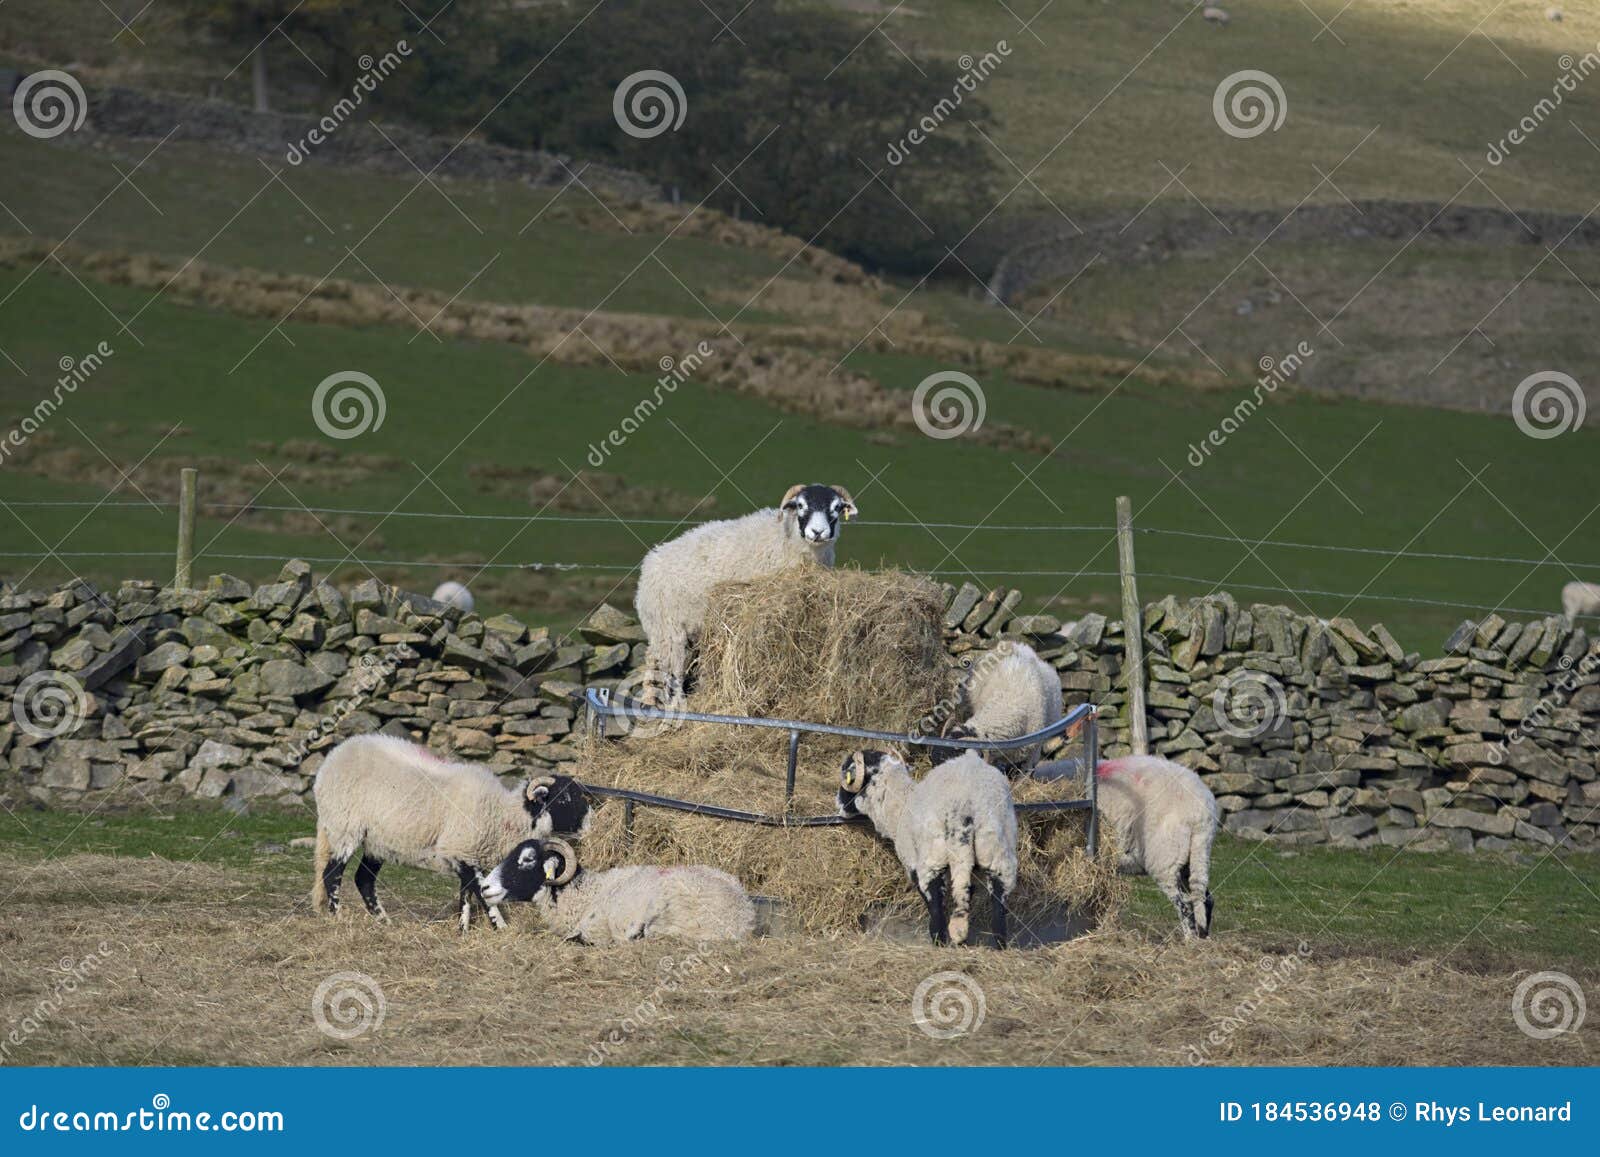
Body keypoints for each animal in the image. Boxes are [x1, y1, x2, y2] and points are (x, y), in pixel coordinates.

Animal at [310, 734, 591, 931]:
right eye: (564, 798)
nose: (591, 822)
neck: (501, 815)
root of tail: (332, 758)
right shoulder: (463, 850)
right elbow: (483, 895)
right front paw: (501, 927)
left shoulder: (464, 854)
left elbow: (466, 894)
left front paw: (463, 929)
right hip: (344, 826)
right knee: (331, 874)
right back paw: (338, 917)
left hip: (378, 840)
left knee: (364, 880)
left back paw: (383, 921)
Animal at [634, 483, 857, 700]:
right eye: (801, 505)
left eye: (836, 507)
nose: (818, 532)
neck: (787, 539)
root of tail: (649, 564)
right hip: (670, 631)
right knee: (673, 671)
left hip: (668, 631)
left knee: (653, 664)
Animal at [837, 749, 1018, 947]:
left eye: (847, 773)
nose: (838, 804)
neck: (900, 806)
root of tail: (965, 808)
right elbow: (970, 892)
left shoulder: (912, 862)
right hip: (997, 850)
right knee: (999, 904)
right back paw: (999, 945)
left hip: (932, 858)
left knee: (935, 904)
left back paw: (938, 940)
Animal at [1094, 755, 1219, 939]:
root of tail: (1201, 812)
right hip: (1194, 854)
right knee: (1204, 898)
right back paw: (1202, 937)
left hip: (1164, 856)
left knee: (1184, 904)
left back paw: (1189, 939)